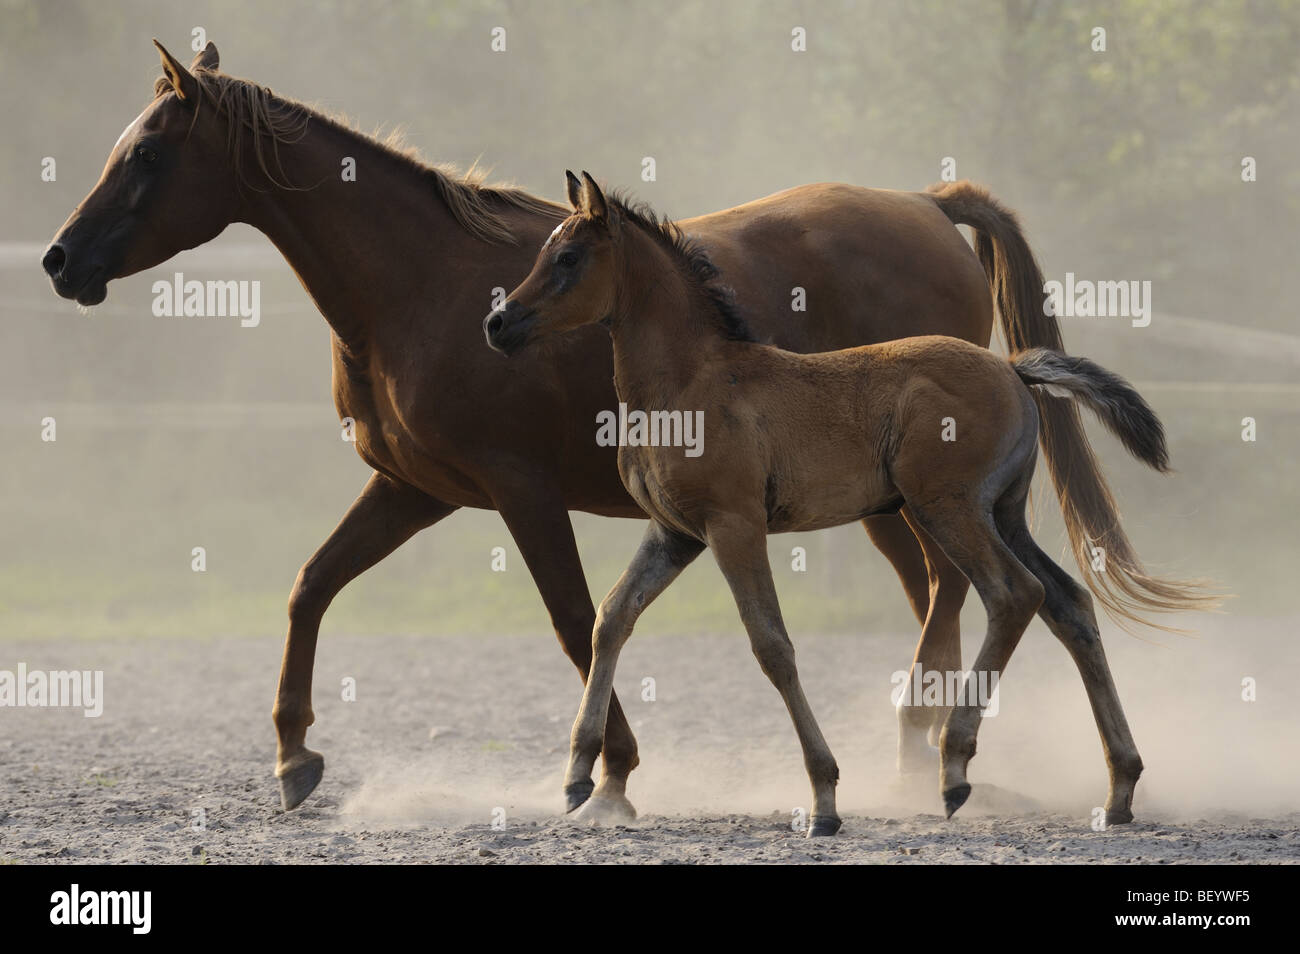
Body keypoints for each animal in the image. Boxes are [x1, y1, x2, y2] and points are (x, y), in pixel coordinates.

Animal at [46, 39, 1115, 820]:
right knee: (964, 598)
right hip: (896, 502)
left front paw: (611, 774)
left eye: (146, 154)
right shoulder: (414, 490)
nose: (61, 259)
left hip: (905, 503)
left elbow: (571, 619)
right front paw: (294, 756)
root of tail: (929, 205)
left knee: (959, 596)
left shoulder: (521, 491)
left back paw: (924, 758)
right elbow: (314, 584)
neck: (421, 287)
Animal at [487, 172, 1213, 834]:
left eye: (567, 257)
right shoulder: (674, 533)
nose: (499, 322)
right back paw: (1120, 786)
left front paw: (825, 798)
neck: (689, 382)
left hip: (946, 509)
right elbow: (611, 619)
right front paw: (579, 778)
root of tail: (1013, 369)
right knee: (1069, 604)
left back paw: (955, 765)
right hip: (1000, 513)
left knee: (1014, 595)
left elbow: (772, 646)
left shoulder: (734, 524)